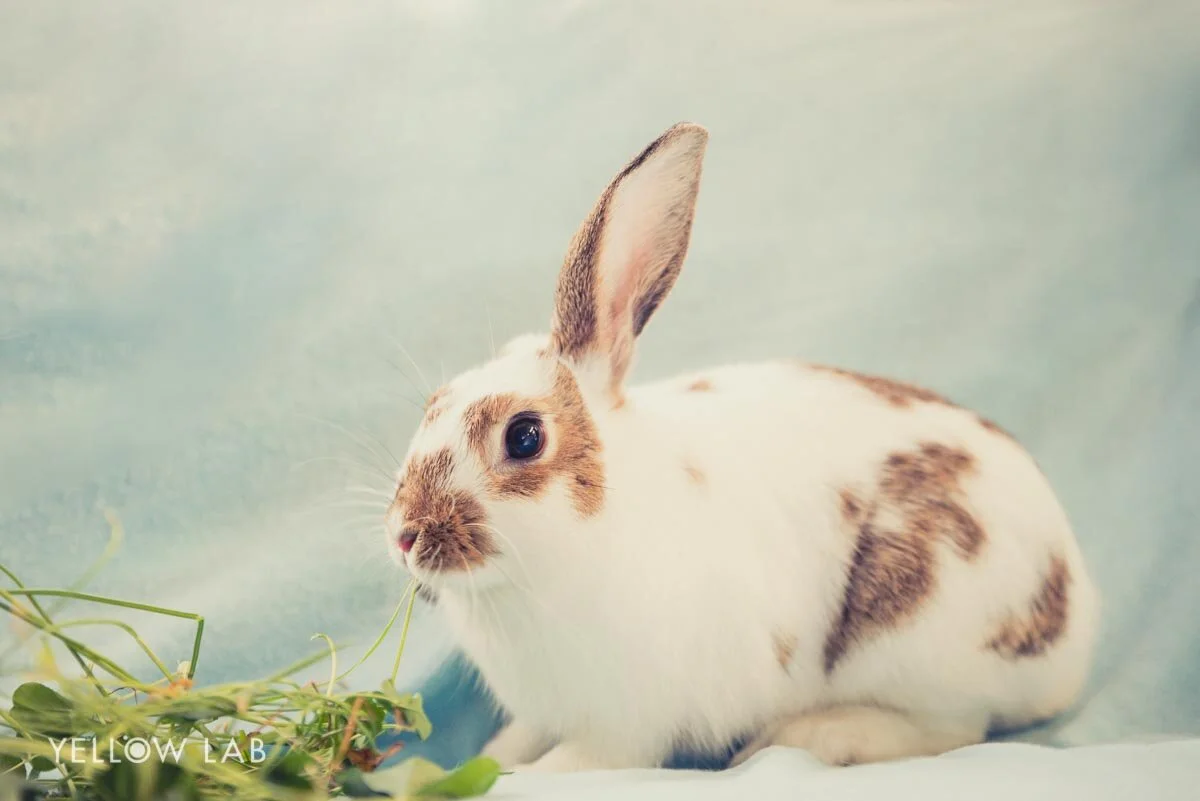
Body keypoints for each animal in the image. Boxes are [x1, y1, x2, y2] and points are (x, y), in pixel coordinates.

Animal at [383, 122, 1100, 772]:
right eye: (432, 405)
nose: (405, 534)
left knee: (953, 730)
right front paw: (478, 761)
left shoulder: (624, 732)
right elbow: (516, 743)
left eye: (525, 436)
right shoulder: (546, 712)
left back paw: (815, 736)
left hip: (918, 640)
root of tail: (1077, 616)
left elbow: (569, 768)